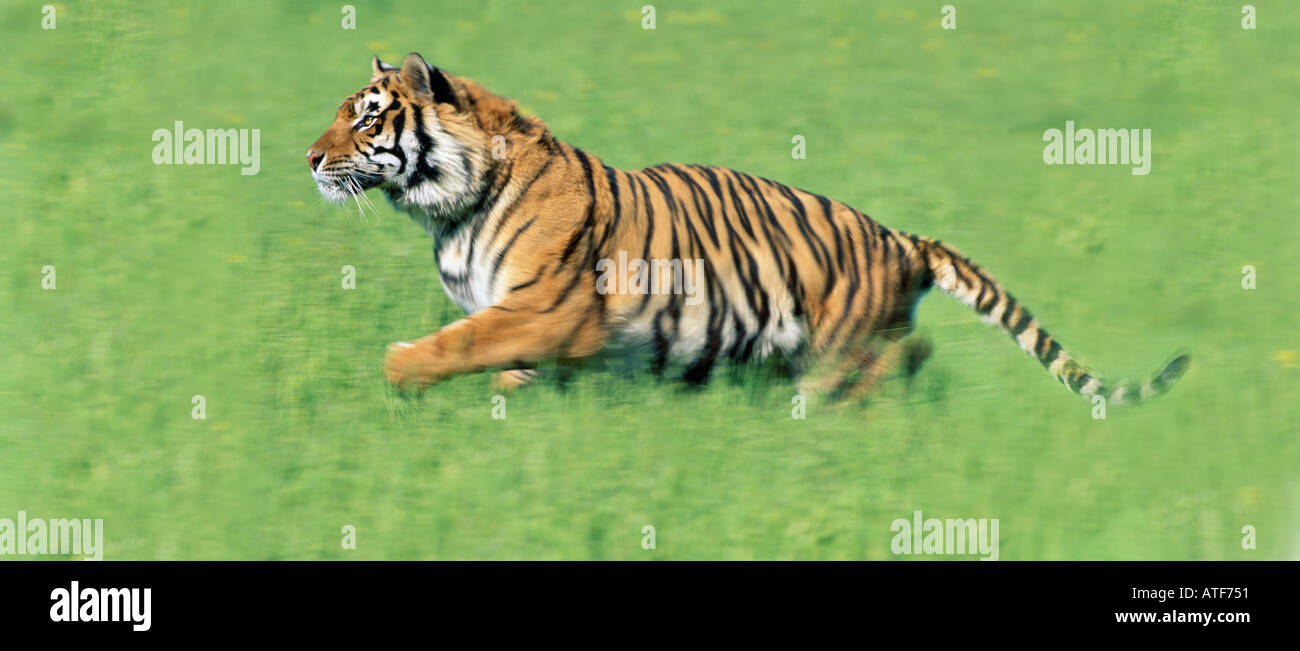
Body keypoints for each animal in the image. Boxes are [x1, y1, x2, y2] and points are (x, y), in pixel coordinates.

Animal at [306, 53, 1189, 404]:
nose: (310, 157)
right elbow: (502, 368)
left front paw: (398, 374)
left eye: (368, 117)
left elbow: (457, 344)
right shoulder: (531, 325)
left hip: (842, 347)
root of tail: (904, 238)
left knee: (886, 371)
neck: (449, 208)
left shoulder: (547, 310)